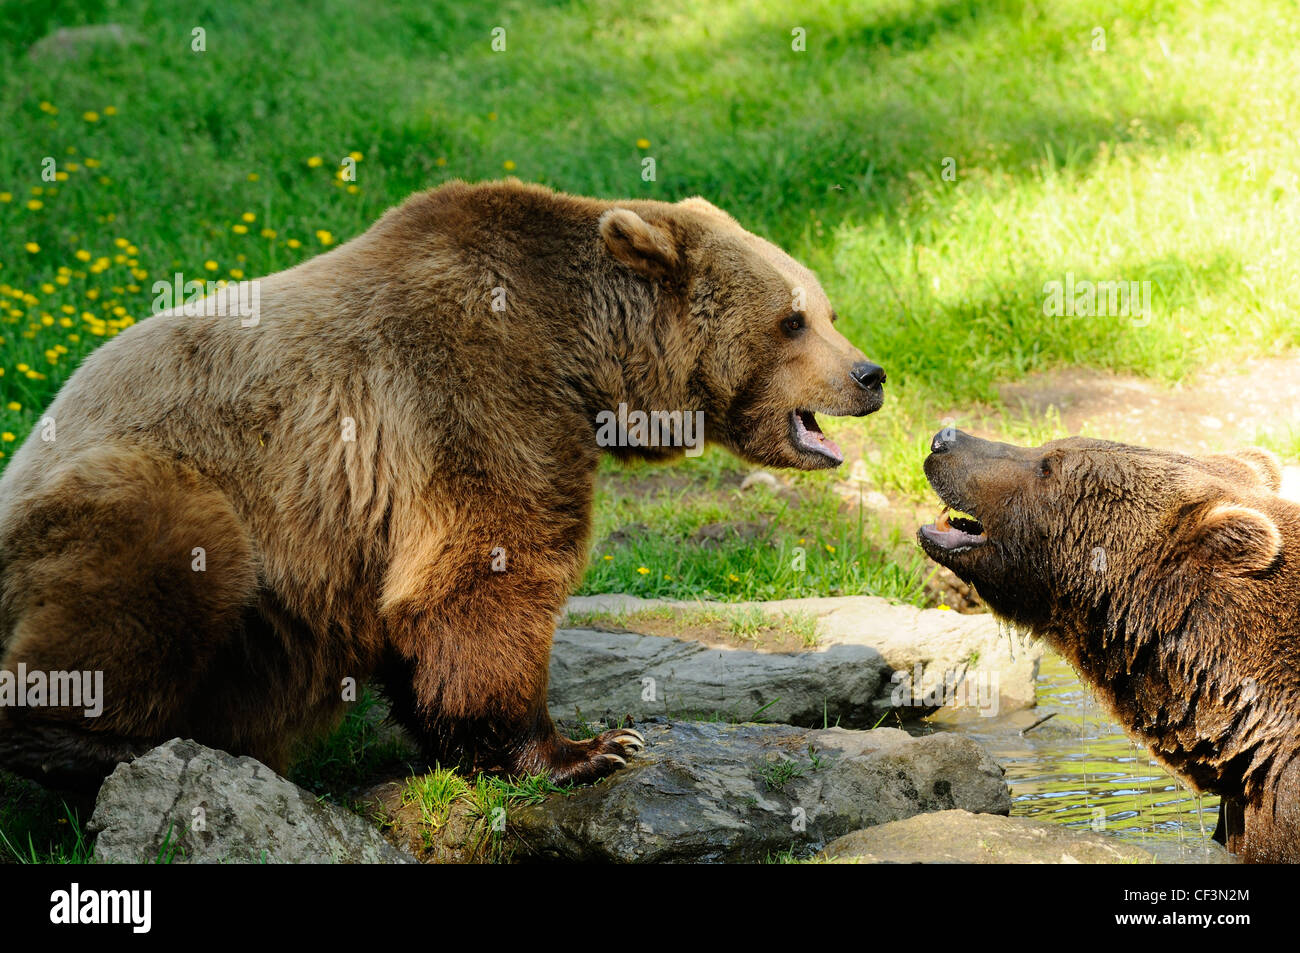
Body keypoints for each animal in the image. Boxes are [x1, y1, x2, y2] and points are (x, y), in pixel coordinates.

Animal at [0, 180, 886, 791]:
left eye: (829, 310)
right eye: (792, 319)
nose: (869, 374)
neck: (580, 352)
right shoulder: (468, 392)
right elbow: (483, 576)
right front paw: (591, 748)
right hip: (122, 495)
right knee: (173, 548)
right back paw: (89, 744)